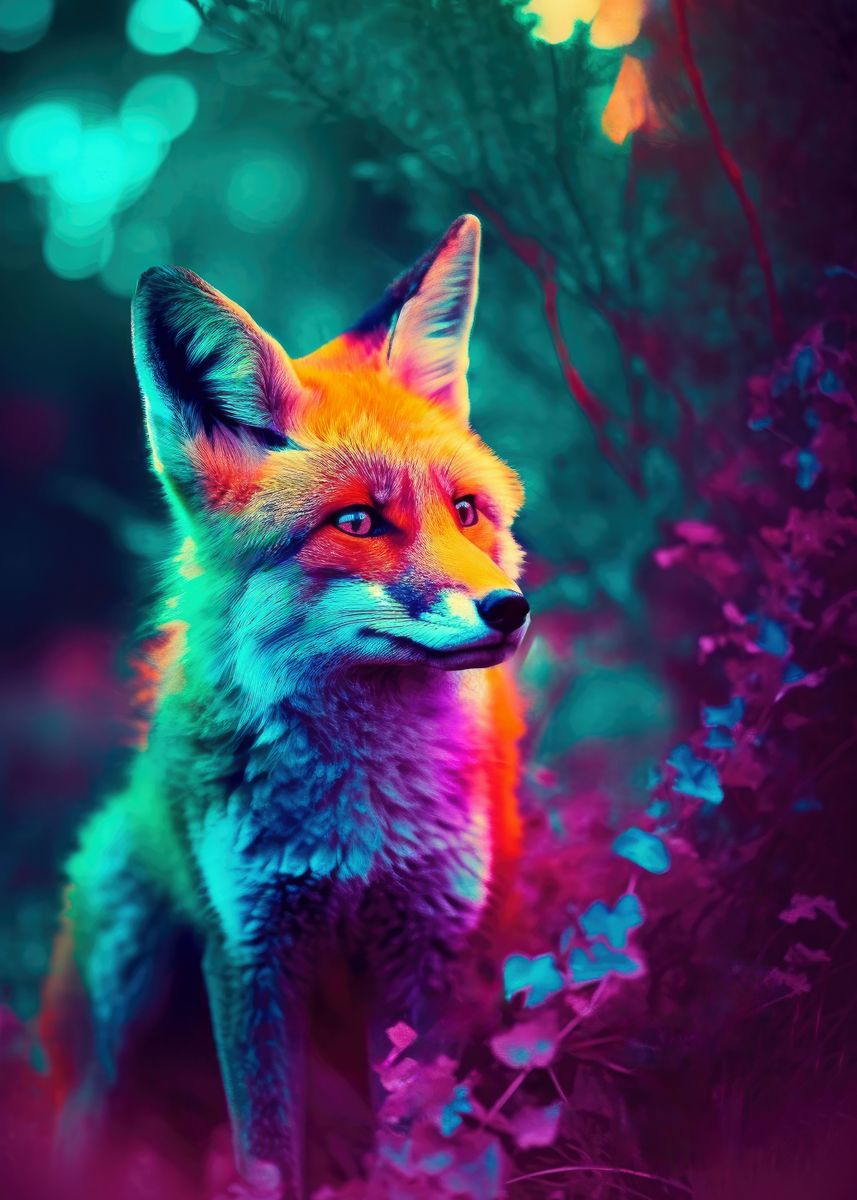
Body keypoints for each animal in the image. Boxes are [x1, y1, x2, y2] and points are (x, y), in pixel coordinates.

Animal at [40, 214, 529, 1199]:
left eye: (465, 511)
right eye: (358, 523)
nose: (507, 608)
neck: (361, 821)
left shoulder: (428, 946)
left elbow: (412, 1141)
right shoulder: (250, 952)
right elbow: (266, 1156)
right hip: (121, 983)